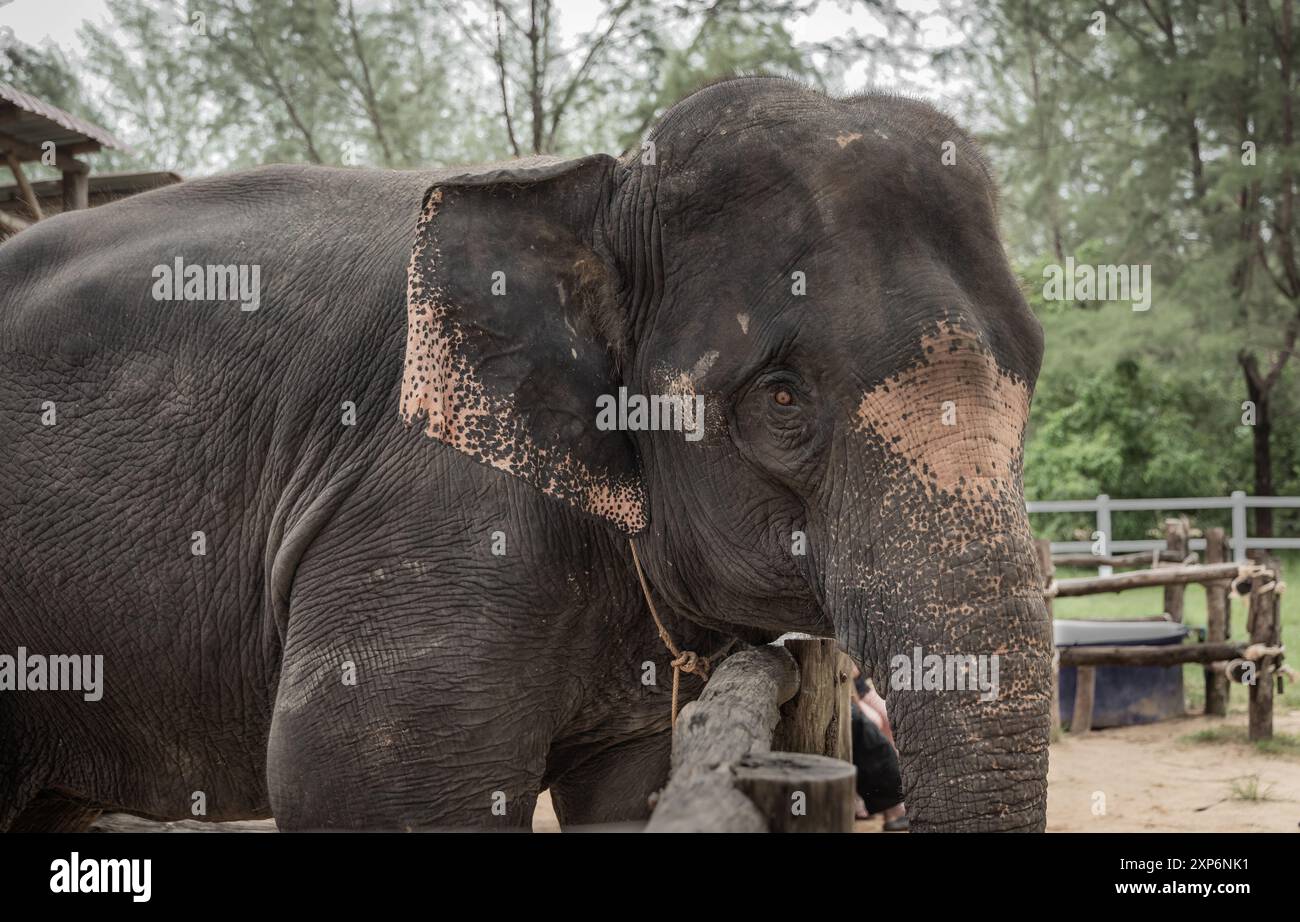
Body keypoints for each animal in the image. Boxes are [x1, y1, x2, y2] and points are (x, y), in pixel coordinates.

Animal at [0, 76, 1051, 832]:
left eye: (1030, 379)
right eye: (782, 398)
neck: (601, 185)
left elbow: (627, 794)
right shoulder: (429, 519)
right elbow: (353, 786)